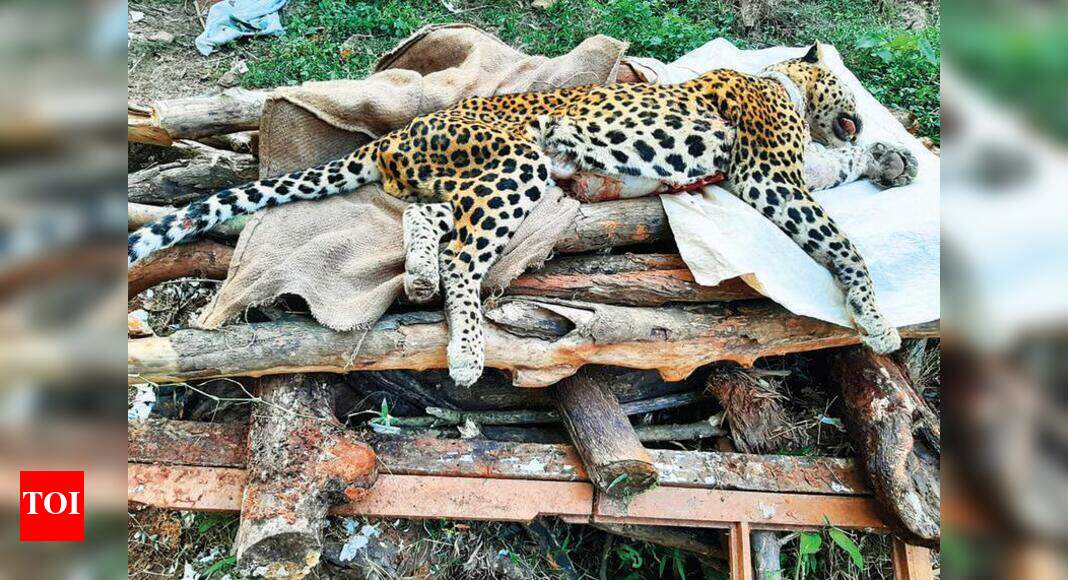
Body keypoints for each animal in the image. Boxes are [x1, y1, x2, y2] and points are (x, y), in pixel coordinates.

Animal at [128, 43, 917, 387]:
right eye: (848, 83)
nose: (860, 106)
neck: (779, 83)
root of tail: (397, 132)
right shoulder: (769, 175)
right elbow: (844, 241)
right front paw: (878, 324)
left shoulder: (787, 172)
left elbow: (842, 167)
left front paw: (891, 159)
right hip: (516, 167)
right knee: (461, 258)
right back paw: (467, 351)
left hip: (462, 184)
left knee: (423, 221)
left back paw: (418, 279)